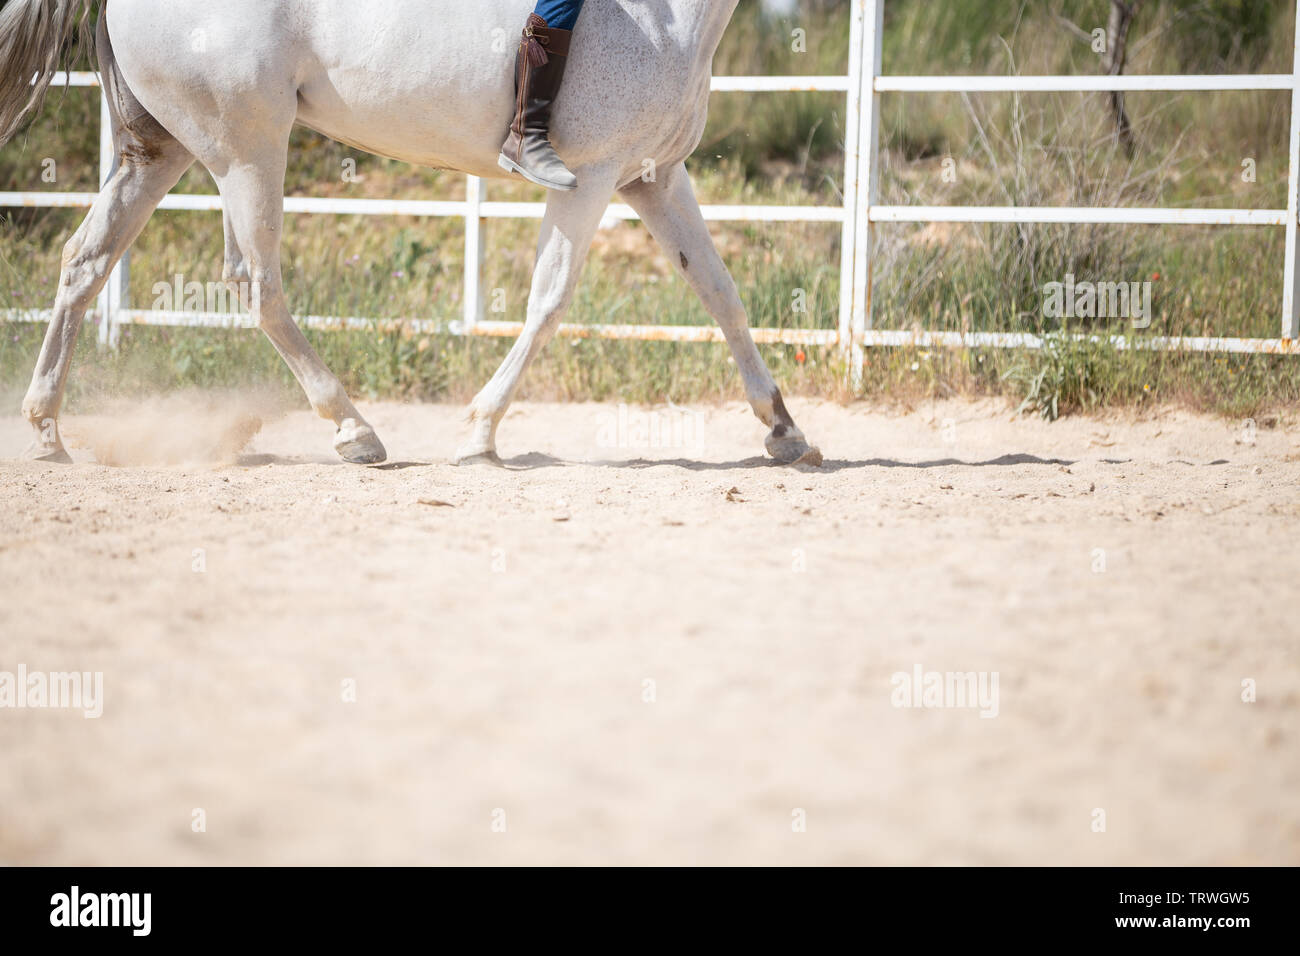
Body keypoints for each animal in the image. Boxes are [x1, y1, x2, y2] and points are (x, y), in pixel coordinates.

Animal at [0, 0, 822, 467]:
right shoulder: (590, 178)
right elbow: (549, 301)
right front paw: (481, 433)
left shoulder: (654, 177)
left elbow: (719, 292)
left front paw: (783, 429)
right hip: (246, 147)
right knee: (256, 283)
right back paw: (354, 430)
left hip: (160, 150)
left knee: (86, 263)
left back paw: (46, 434)